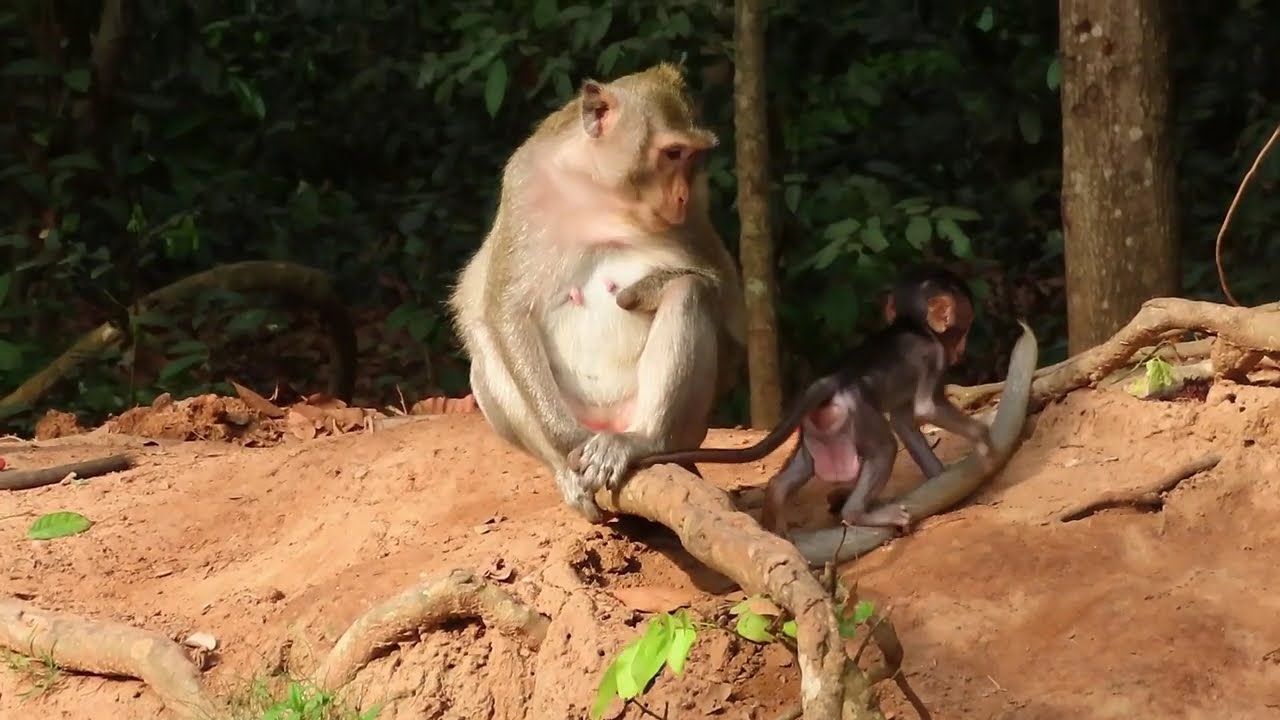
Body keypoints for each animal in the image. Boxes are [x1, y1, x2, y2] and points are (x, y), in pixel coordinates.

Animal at [447, 63, 748, 524]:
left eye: (693, 158)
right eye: (672, 154)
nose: (680, 195)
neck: (603, 191)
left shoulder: (700, 206)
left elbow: (728, 308)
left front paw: (643, 290)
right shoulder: (524, 183)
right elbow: (504, 310)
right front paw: (567, 442)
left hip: (684, 429)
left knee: (689, 292)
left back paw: (644, 440)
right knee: (485, 350)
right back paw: (567, 468)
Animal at [630, 271, 991, 536]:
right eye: (964, 328)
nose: (961, 351)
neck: (912, 324)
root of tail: (828, 383)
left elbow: (905, 420)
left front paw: (940, 478)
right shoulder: (932, 356)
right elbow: (926, 408)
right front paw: (984, 442)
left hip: (816, 429)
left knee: (795, 471)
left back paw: (777, 517)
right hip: (856, 415)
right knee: (884, 448)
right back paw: (859, 513)